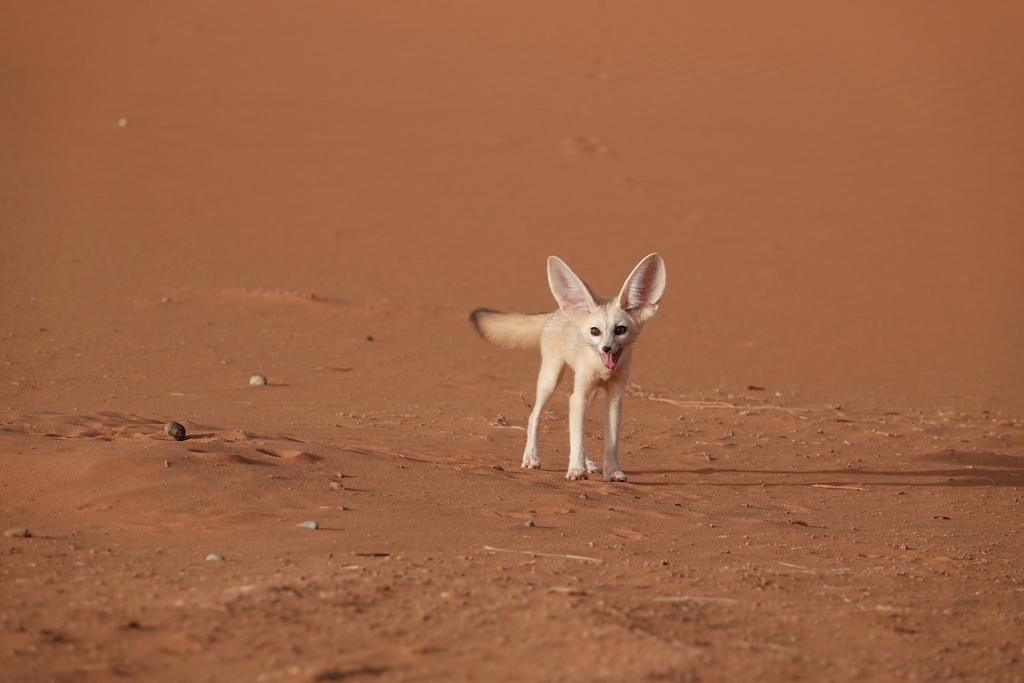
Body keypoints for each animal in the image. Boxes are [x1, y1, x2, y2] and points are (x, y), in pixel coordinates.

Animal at [470, 253, 666, 482]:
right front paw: (576, 470)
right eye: (595, 331)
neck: (602, 370)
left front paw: (613, 472)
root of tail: (556, 312)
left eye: (620, 330)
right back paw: (532, 457)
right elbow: (577, 438)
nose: (606, 348)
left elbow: (610, 441)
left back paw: (588, 463)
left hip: (588, 394)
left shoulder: (614, 396)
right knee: (534, 416)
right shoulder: (579, 394)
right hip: (551, 380)